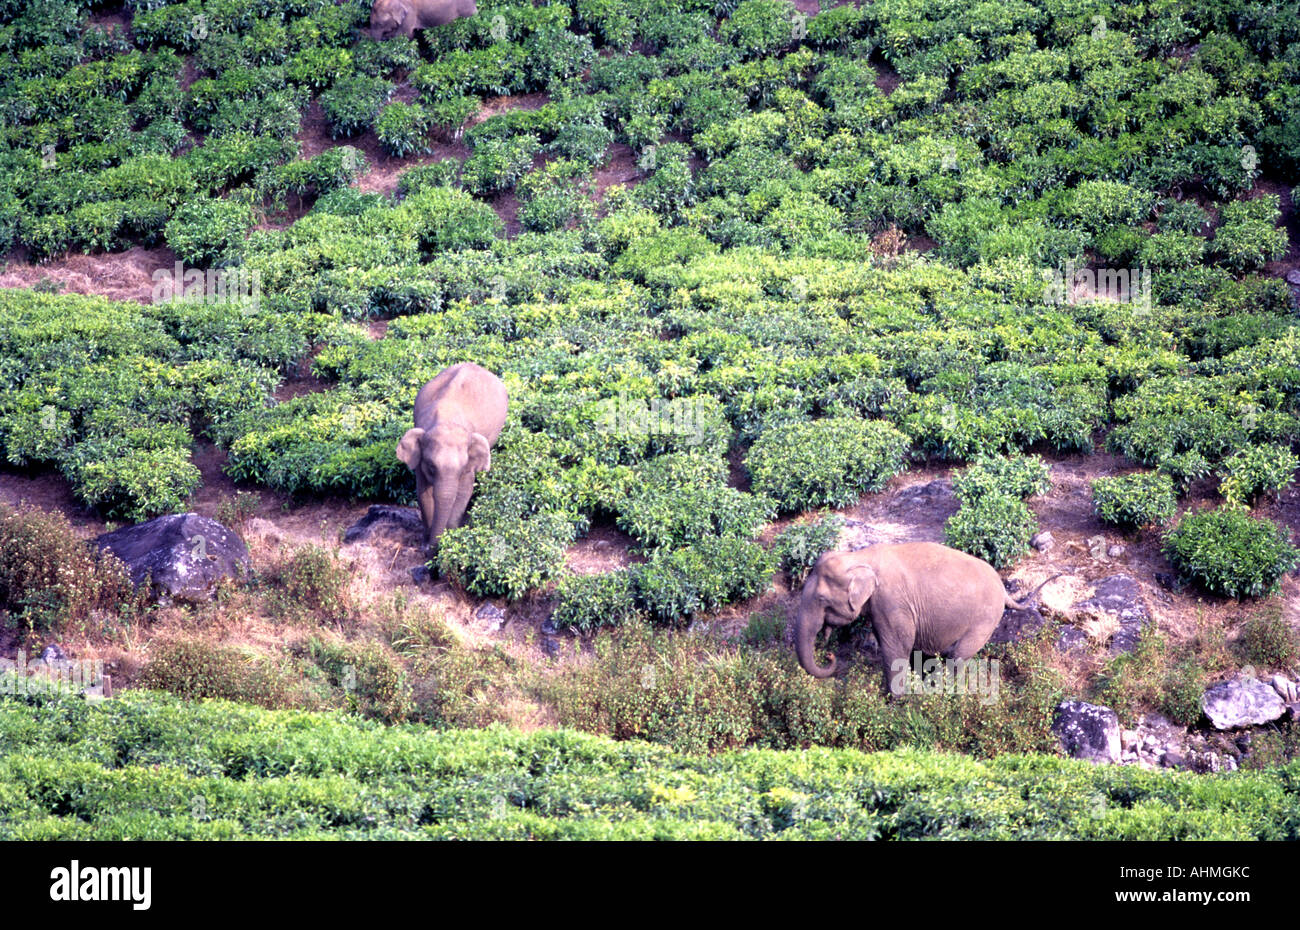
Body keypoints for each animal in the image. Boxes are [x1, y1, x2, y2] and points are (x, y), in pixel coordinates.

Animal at [396, 362, 508, 551]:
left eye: (462, 468)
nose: (430, 547)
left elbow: (463, 492)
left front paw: (451, 538)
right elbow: (423, 493)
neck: (446, 420)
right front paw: (428, 543)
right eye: (431, 467)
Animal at [793, 543, 1056, 694]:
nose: (829, 655)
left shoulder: (892, 601)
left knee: (959, 656)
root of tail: (1004, 589)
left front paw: (896, 704)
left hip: (985, 619)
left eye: (821, 599)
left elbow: (897, 645)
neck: (859, 556)